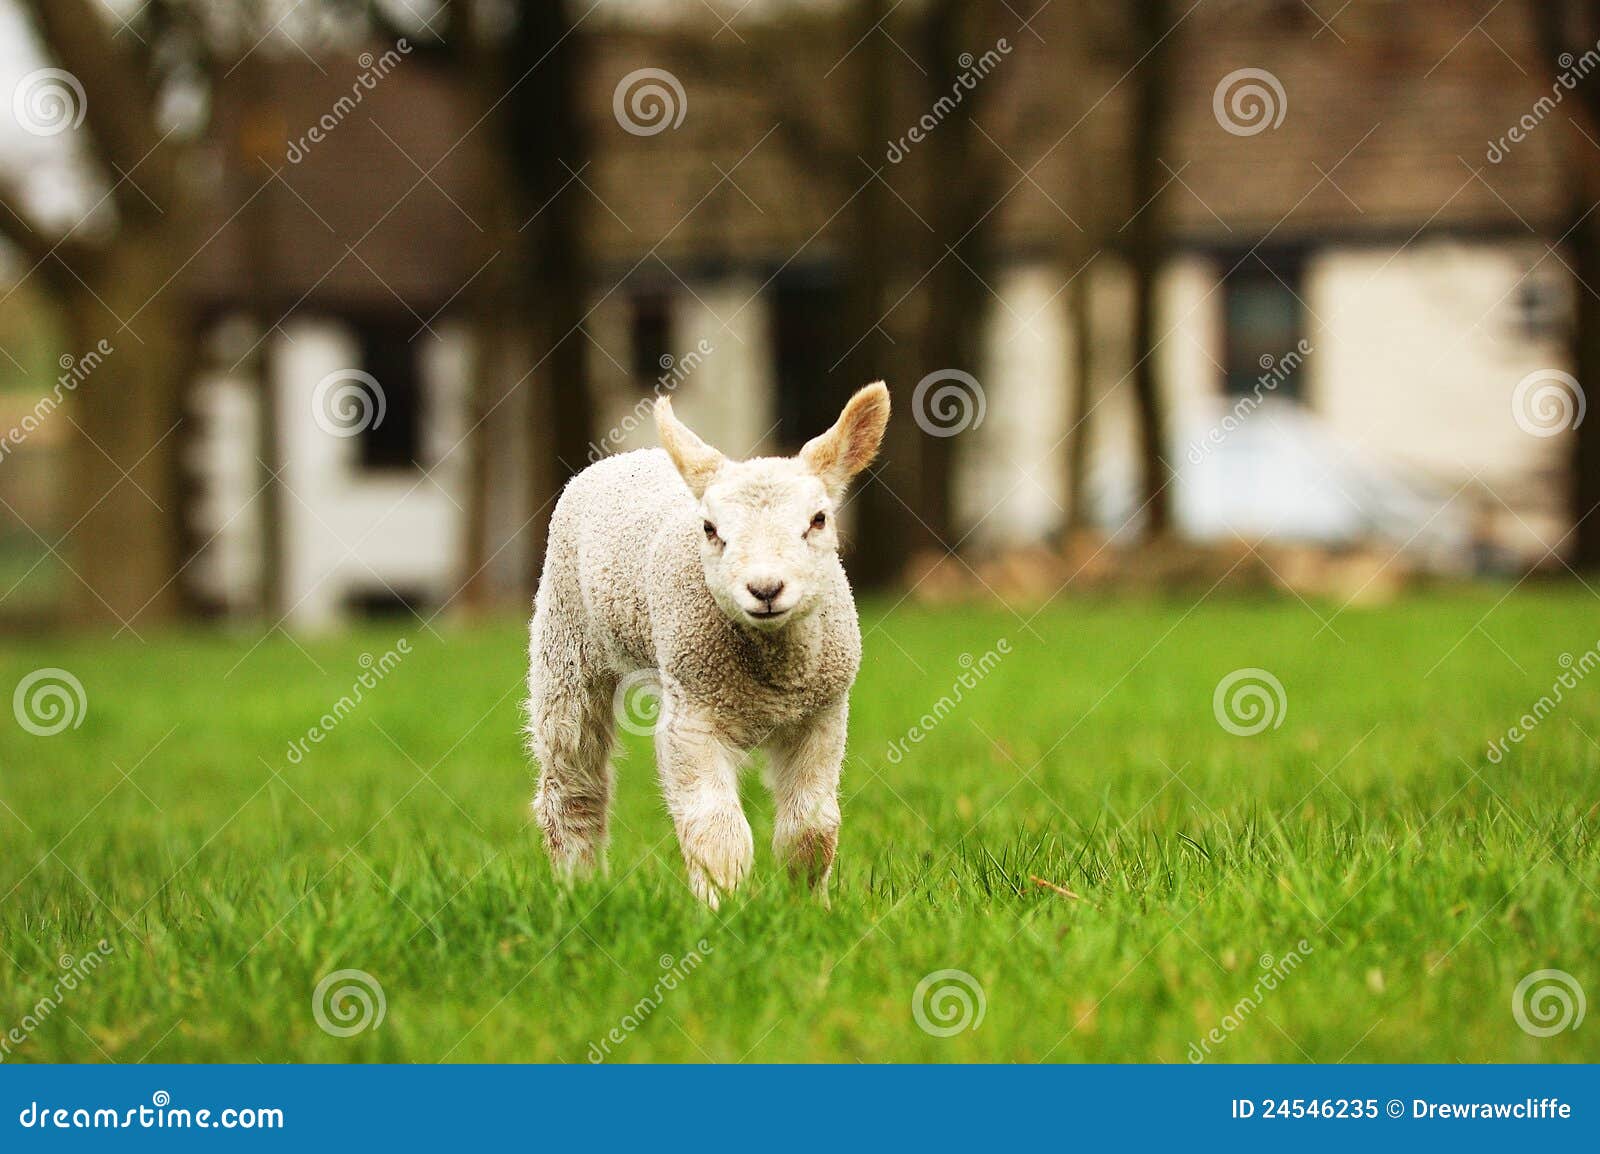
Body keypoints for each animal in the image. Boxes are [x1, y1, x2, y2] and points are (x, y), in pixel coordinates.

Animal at [526, 381, 891, 907]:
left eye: (819, 519)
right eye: (710, 529)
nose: (765, 589)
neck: (772, 678)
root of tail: (629, 454)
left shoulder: (822, 713)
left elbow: (812, 828)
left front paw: (809, 907)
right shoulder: (693, 716)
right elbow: (717, 831)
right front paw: (722, 908)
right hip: (565, 639)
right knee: (573, 782)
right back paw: (578, 889)